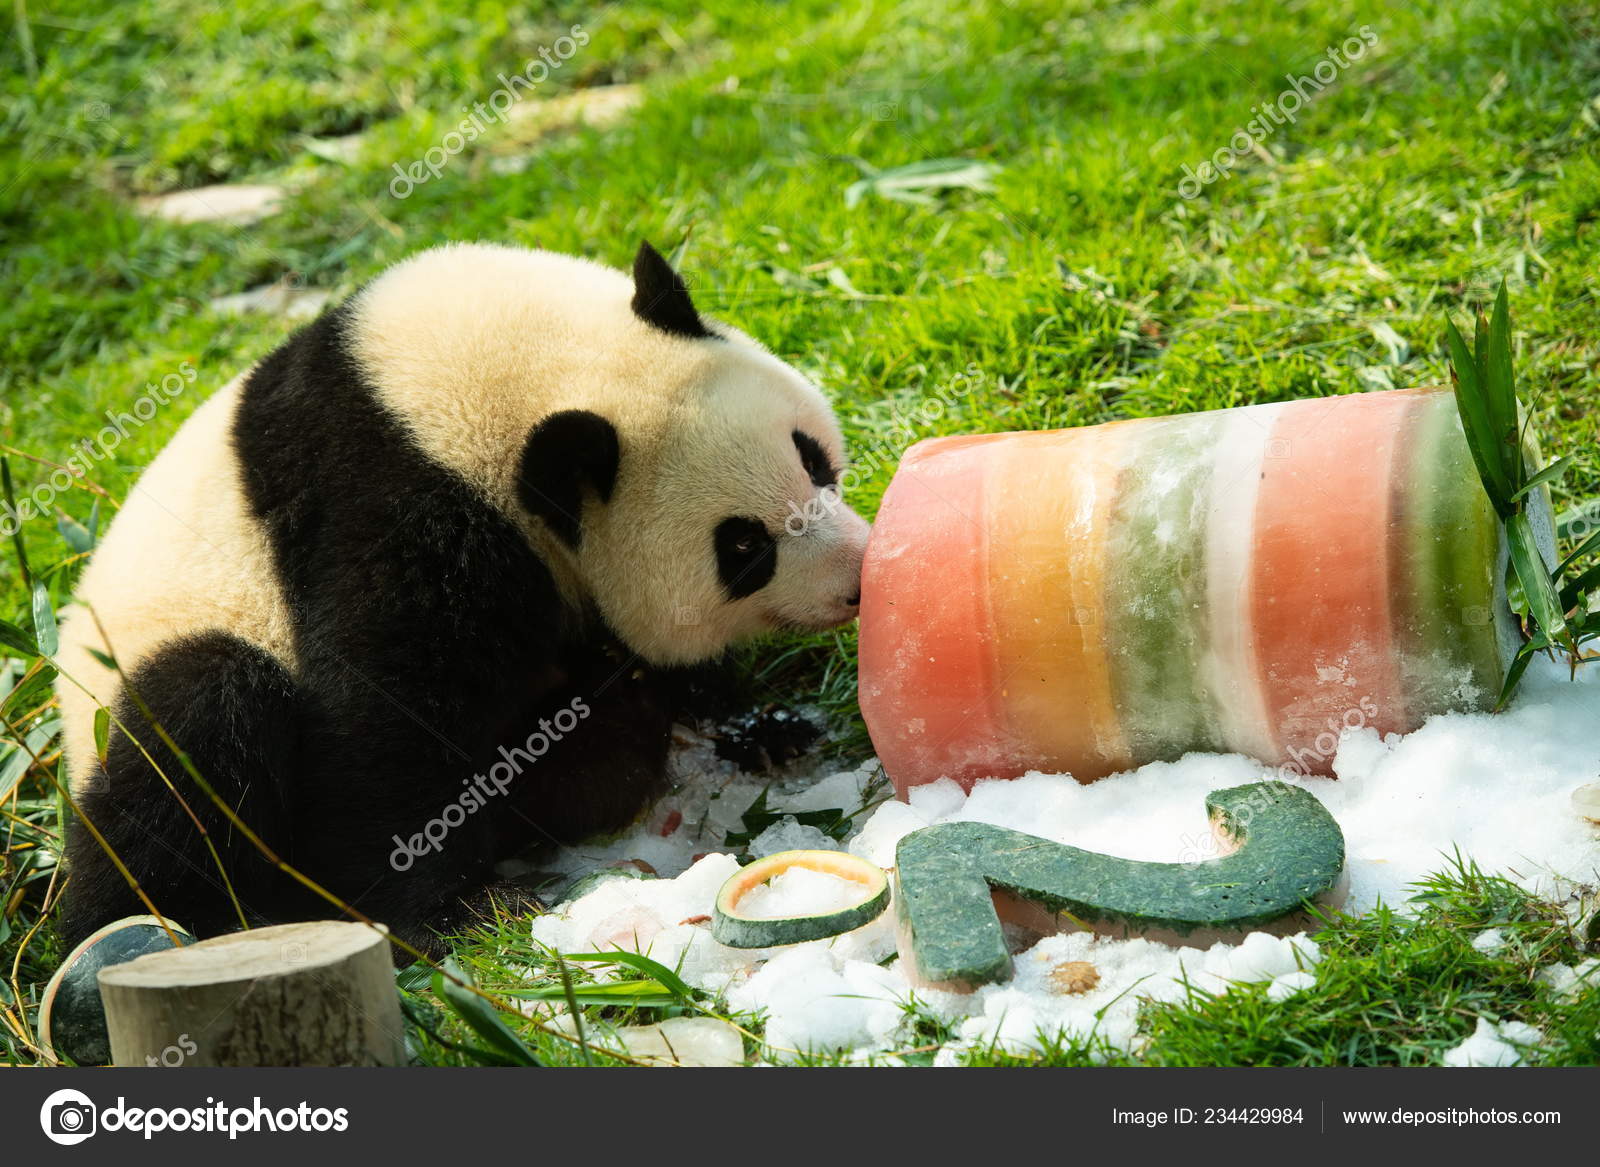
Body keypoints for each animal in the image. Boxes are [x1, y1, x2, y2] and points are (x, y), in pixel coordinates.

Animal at [54, 241, 871, 957]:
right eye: (743, 548)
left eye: (810, 457)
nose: (859, 578)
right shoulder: (389, 511)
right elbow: (384, 720)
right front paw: (446, 913)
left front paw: (761, 724)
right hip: (144, 680)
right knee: (189, 737)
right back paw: (183, 919)